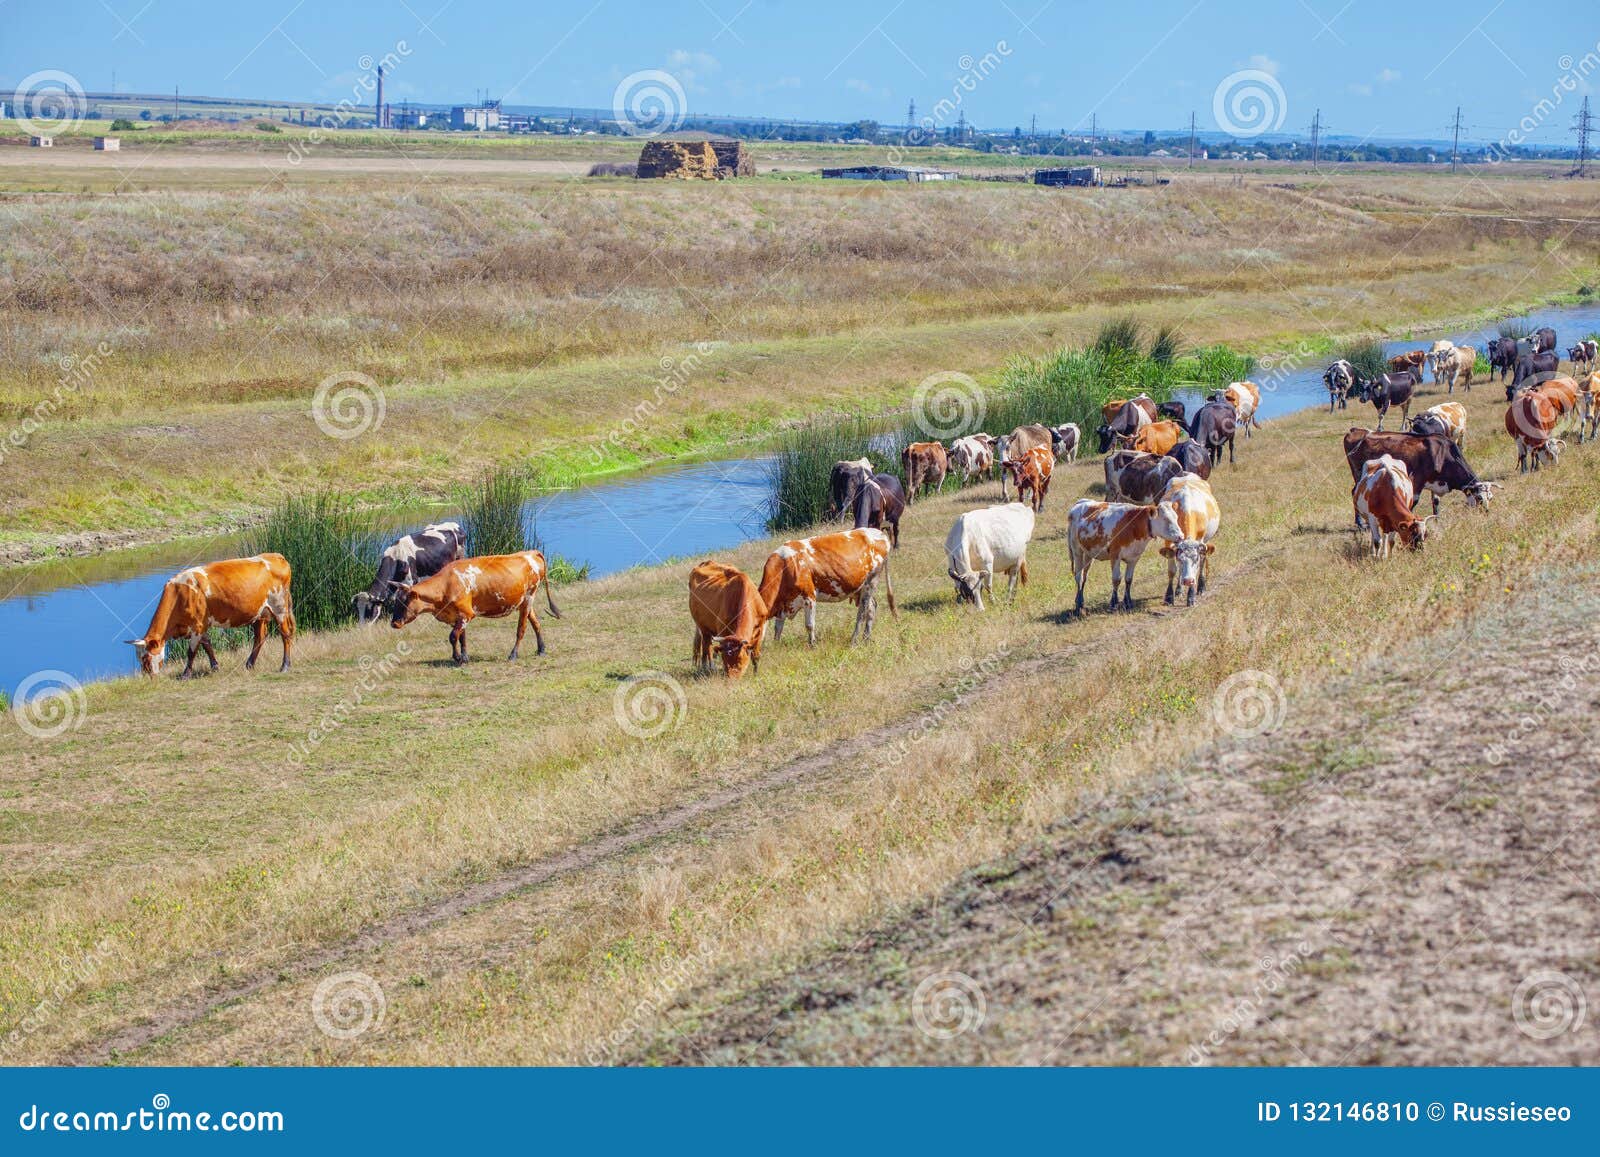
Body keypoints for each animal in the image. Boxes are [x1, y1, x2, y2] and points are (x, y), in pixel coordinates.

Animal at [128, 553, 295, 677]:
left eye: (146, 658)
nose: (148, 677)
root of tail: (276, 556)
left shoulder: (198, 625)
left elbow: (191, 652)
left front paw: (185, 674)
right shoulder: (199, 626)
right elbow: (207, 645)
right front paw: (215, 667)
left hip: (279, 606)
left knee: (285, 634)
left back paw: (285, 666)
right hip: (260, 613)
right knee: (260, 637)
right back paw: (249, 664)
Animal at [388, 550, 562, 664]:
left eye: (404, 602)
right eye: (395, 602)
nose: (394, 623)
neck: (446, 584)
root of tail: (531, 552)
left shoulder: (467, 614)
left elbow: (453, 636)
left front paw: (457, 657)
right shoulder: (457, 616)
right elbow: (462, 637)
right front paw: (464, 657)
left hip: (528, 597)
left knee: (521, 629)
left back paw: (513, 655)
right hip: (524, 602)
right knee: (536, 623)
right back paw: (541, 650)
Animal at [758, 527, 896, 645]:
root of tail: (879, 532)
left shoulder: (809, 597)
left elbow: (809, 625)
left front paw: (812, 645)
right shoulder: (783, 604)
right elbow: (778, 628)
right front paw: (776, 645)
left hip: (871, 581)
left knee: (862, 612)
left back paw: (854, 641)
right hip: (859, 588)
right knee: (871, 607)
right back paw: (866, 639)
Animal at [1154, 473, 1220, 606]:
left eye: (1195, 559)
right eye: (1181, 559)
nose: (1188, 581)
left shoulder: (1200, 541)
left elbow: (1199, 565)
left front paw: (1191, 596)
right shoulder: (1169, 541)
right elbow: (1172, 570)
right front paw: (1169, 596)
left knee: (1204, 560)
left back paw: (1200, 587)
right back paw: (1179, 589)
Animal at [1343, 427, 1495, 521]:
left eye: (1490, 497)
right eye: (1479, 498)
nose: (1487, 512)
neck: (1442, 455)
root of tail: (1357, 431)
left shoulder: (1435, 481)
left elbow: (1436, 502)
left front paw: (1437, 520)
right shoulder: (1417, 480)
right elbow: (1414, 501)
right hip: (1358, 473)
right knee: (1355, 492)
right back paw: (1360, 525)